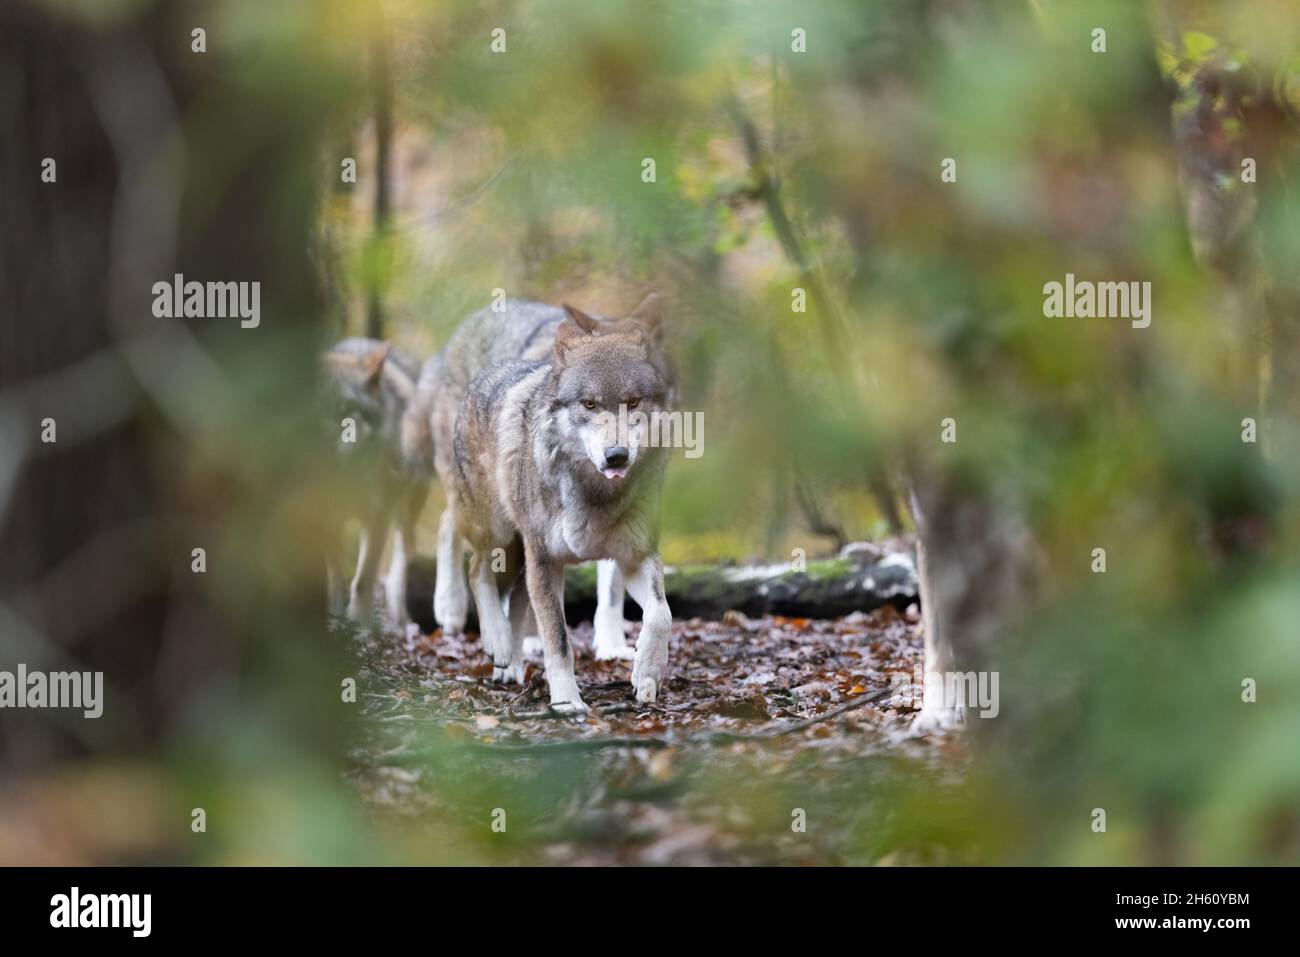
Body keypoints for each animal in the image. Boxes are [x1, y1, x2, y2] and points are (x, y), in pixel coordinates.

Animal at [322, 337, 432, 632]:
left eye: (346, 413)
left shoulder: (378, 517)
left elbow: (362, 581)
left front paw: (359, 628)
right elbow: (337, 577)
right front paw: (335, 617)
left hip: (406, 510)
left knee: (403, 556)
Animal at [446, 295, 673, 712]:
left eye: (632, 402)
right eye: (589, 404)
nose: (616, 456)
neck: (595, 496)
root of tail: (485, 374)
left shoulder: (634, 555)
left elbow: (660, 613)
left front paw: (646, 675)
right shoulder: (546, 561)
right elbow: (558, 641)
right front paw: (567, 702)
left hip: (521, 556)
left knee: (517, 603)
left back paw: (510, 665)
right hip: (499, 534)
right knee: (476, 571)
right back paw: (496, 643)